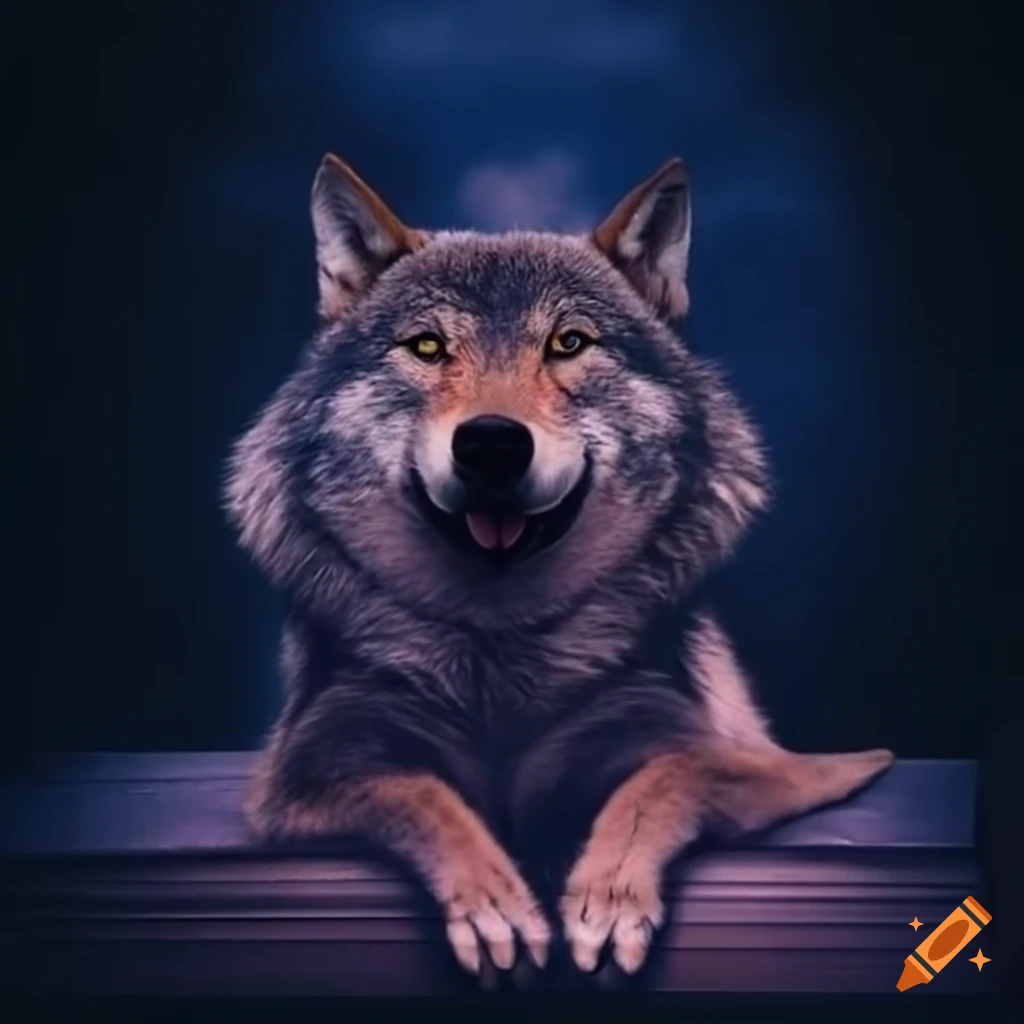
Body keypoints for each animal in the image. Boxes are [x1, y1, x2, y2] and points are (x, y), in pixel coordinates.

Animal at [224, 153, 895, 980]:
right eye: (427, 348)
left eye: (569, 343)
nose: (490, 442)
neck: (501, 658)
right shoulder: (306, 775)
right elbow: (424, 796)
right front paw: (496, 904)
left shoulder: (739, 760)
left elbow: (661, 781)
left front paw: (606, 899)